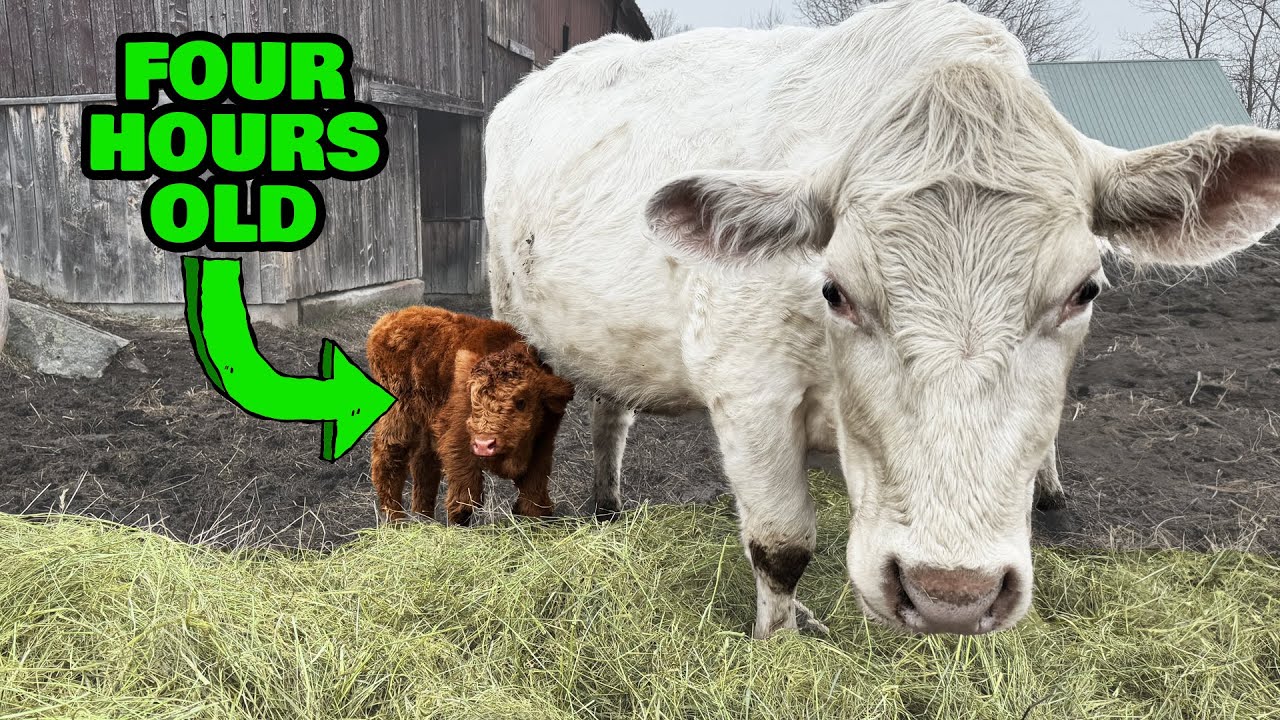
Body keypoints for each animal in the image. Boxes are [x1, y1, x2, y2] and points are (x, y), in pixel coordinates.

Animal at [366, 307, 575, 526]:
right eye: (473, 399)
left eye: (522, 402)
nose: (484, 444)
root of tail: (388, 321)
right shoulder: (457, 440)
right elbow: (465, 498)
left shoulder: (542, 446)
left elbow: (534, 496)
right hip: (399, 416)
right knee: (389, 457)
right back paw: (396, 520)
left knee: (424, 463)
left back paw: (424, 518)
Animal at [483, 0, 1280, 638]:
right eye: (835, 290)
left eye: (1084, 290)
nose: (951, 594)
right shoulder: (748, 386)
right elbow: (781, 545)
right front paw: (780, 640)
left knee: (611, 412)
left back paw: (608, 505)